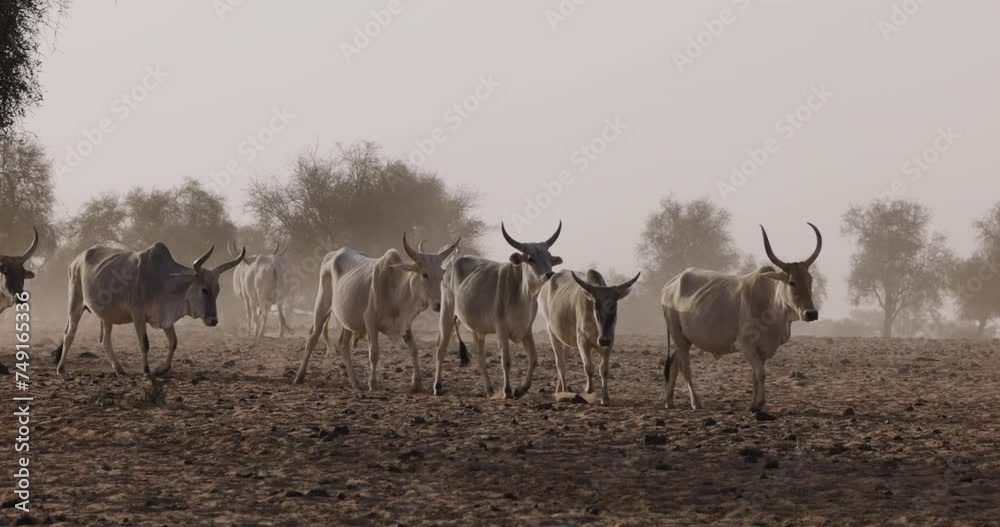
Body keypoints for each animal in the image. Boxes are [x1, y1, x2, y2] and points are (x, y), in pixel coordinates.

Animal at [53, 243, 245, 378]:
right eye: (204, 290)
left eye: (217, 290)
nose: (213, 320)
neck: (160, 280)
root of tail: (76, 260)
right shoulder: (137, 315)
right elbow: (144, 343)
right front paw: (146, 370)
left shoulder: (166, 317)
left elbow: (173, 342)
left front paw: (162, 369)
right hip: (75, 305)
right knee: (69, 334)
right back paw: (61, 368)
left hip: (106, 316)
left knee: (104, 340)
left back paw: (119, 369)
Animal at [292, 233, 461, 392]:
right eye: (424, 274)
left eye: (442, 274)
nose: (439, 304)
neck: (395, 289)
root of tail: (332, 254)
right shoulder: (370, 322)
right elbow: (374, 353)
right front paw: (372, 383)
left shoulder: (405, 323)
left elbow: (414, 349)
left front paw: (417, 383)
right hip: (322, 306)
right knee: (312, 337)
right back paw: (299, 377)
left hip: (348, 320)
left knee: (344, 346)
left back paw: (355, 382)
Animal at [432, 222, 563, 399]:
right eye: (531, 258)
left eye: (549, 257)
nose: (549, 274)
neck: (522, 293)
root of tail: (452, 262)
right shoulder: (502, 330)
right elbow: (506, 361)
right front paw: (507, 391)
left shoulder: (526, 330)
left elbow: (533, 358)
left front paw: (522, 389)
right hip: (447, 312)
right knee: (441, 348)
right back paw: (437, 386)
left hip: (477, 329)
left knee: (480, 358)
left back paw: (489, 388)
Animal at [539, 269, 640, 405]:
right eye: (595, 306)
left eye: (614, 306)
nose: (603, 340)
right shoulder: (582, 340)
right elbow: (588, 367)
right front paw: (589, 389)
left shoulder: (610, 341)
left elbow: (604, 369)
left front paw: (605, 398)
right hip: (552, 333)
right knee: (560, 363)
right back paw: (564, 391)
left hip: (565, 340)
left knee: (564, 359)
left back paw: (558, 390)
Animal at [660, 223, 823, 412]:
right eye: (792, 282)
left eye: (810, 281)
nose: (811, 313)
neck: (770, 302)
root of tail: (669, 285)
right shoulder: (746, 346)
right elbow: (761, 373)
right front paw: (759, 404)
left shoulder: (763, 350)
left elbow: (755, 375)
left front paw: (754, 404)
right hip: (678, 335)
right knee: (685, 368)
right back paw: (696, 402)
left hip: (684, 339)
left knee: (674, 364)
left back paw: (669, 401)